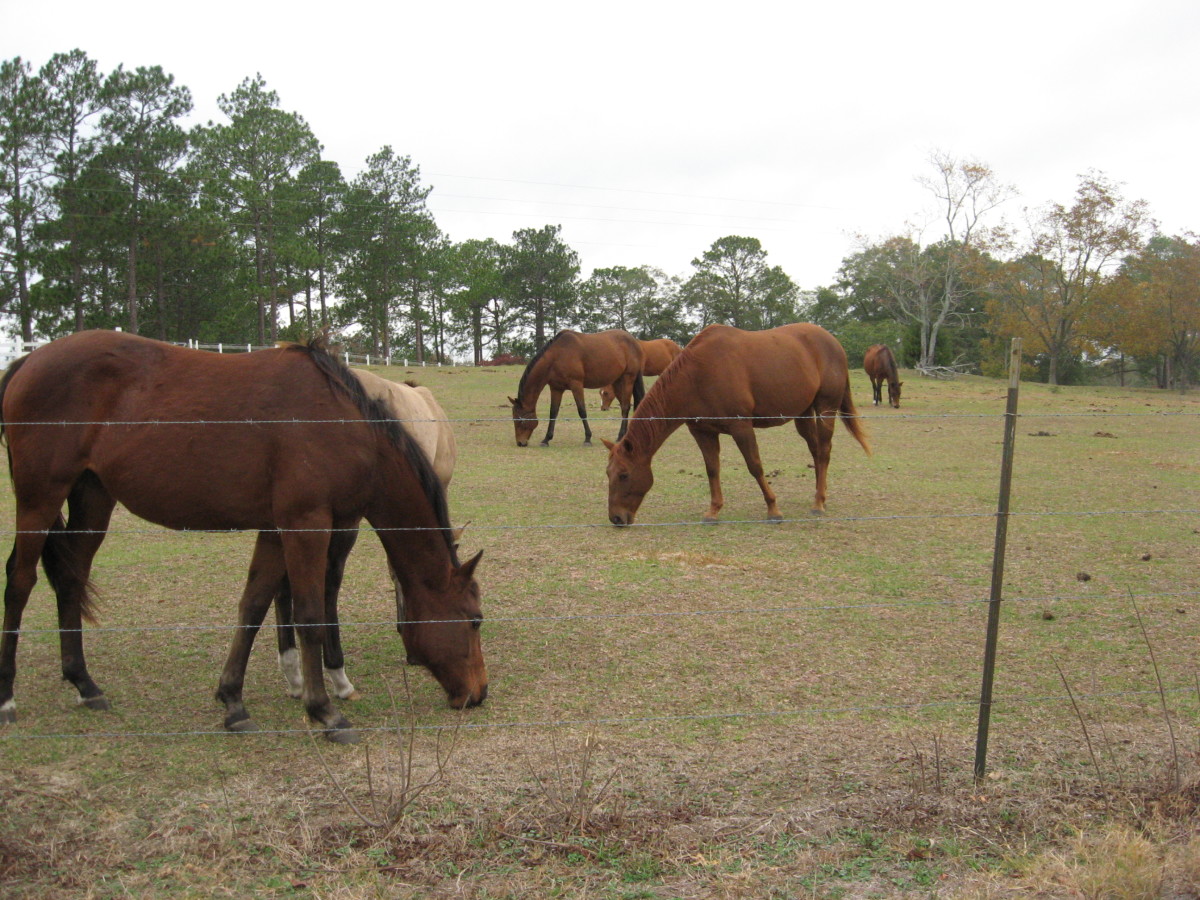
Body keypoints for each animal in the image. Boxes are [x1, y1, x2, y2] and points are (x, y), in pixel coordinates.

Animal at [509, 329, 645, 446]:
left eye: (519, 420)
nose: (520, 442)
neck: (557, 356)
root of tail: (633, 341)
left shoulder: (576, 385)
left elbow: (582, 410)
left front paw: (587, 438)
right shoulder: (556, 389)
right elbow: (553, 412)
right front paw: (546, 439)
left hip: (627, 379)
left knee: (625, 407)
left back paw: (621, 436)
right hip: (617, 382)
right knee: (624, 406)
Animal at [603, 323, 870, 525]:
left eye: (624, 475)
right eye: (608, 473)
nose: (616, 518)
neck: (698, 375)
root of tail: (833, 342)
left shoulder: (741, 427)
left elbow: (755, 466)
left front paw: (773, 509)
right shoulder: (702, 431)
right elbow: (712, 469)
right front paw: (713, 511)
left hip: (826, 408)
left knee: (824, 451)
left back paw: (818, 504)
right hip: (803, 414)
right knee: (815, 451)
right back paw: (819, 496)